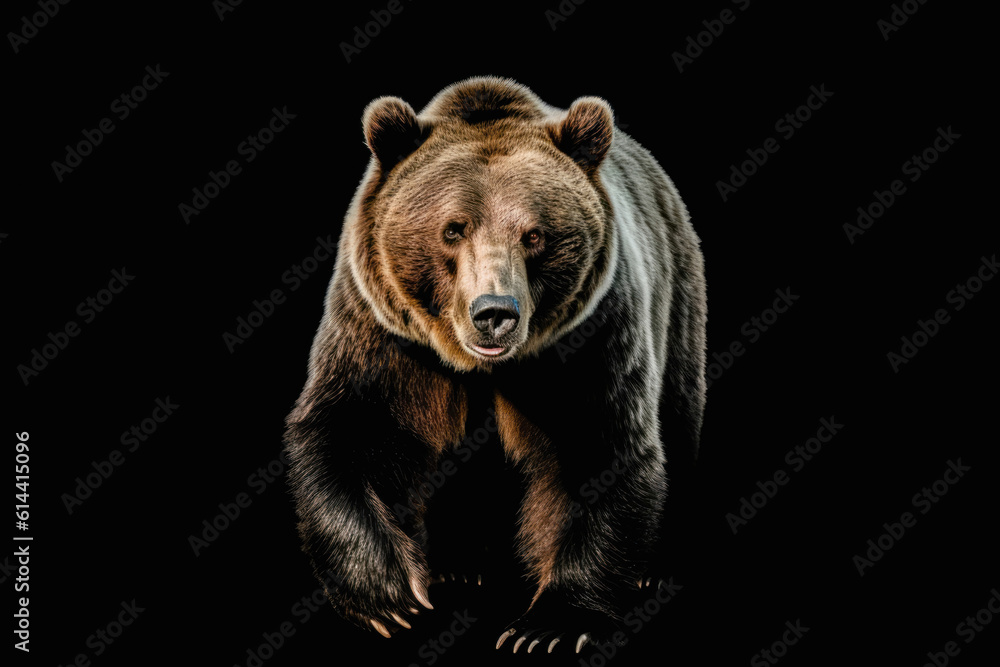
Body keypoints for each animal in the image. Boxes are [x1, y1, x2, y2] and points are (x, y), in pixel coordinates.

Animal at [283, 76, 706, 654]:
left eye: (535, 234)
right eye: (453, 229)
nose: (494, 313)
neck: (478, 364)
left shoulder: (590, 339)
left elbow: (601, 446)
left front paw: (549, 626)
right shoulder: (382, 334)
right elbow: (345, 431)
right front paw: (389, 598)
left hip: (677, 297)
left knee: (679, 412)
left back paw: (653, 568)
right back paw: (461, 565)